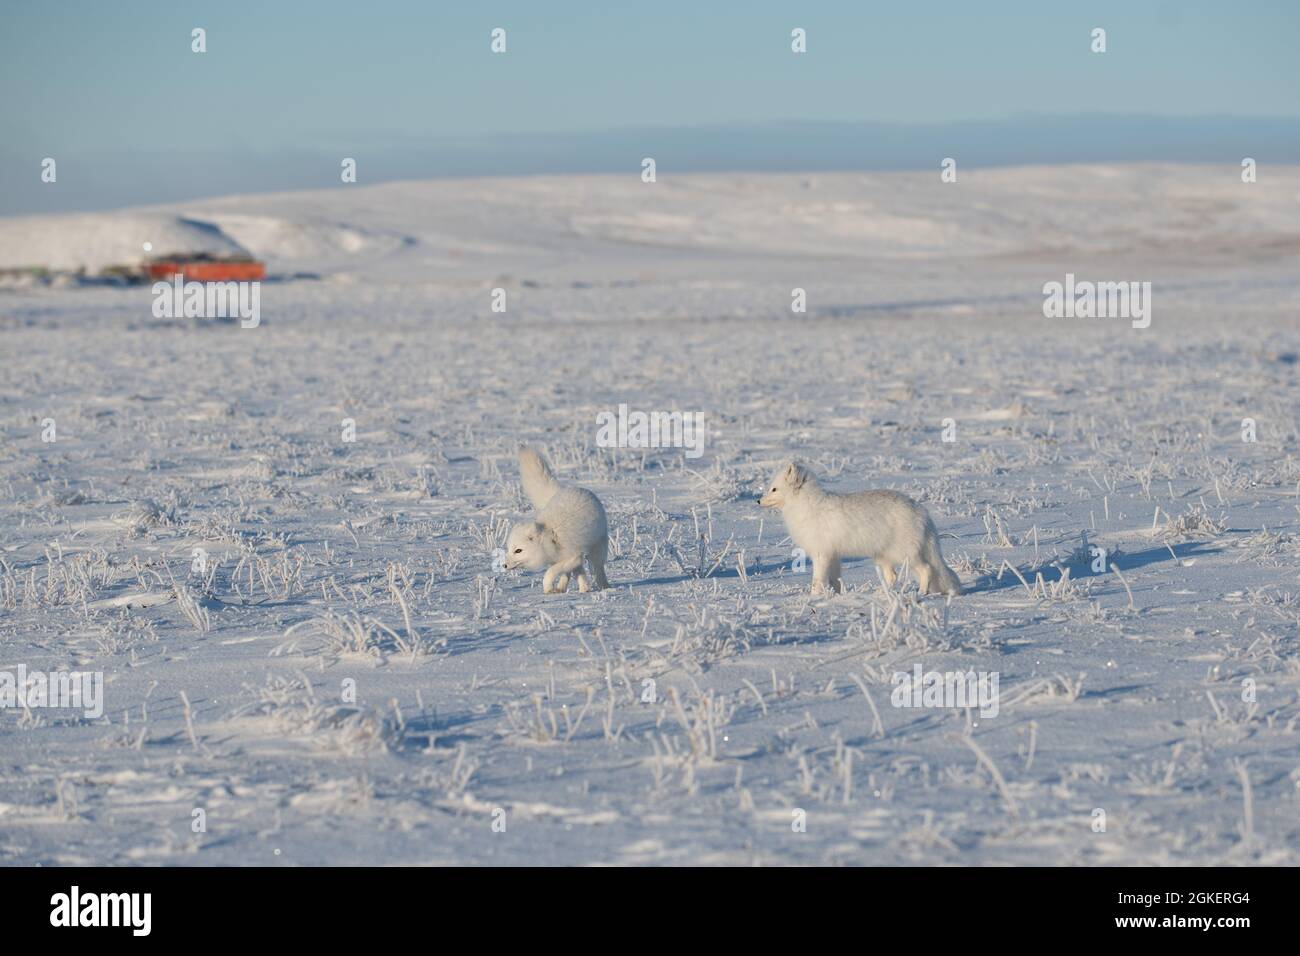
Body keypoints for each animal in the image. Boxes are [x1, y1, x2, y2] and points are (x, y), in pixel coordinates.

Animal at [504, 447, 610, 593]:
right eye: (509, 549)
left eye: (518, 551)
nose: (504, 565)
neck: (550, 536)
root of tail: (565, 489)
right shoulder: (567, 558)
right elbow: (572, 573)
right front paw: (581, 589)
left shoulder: (573, 556)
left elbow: (550, 572)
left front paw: (548, 588)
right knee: (573, 573)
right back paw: (566, 588)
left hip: (597, 547)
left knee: (598, 568)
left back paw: (605, 586)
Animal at [759, 460, 962, 597]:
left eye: (774, 489)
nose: (758, 501)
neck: (807, 506)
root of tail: (921, 511)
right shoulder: (834, 555)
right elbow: (835, 581)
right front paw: (837, 597)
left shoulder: (821, 554)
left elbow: (817, 581)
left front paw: (813, 598)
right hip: (883, 557)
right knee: (893, 577)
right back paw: (880, 594)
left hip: (904, 555)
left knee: (926, 569)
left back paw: (921, 592)